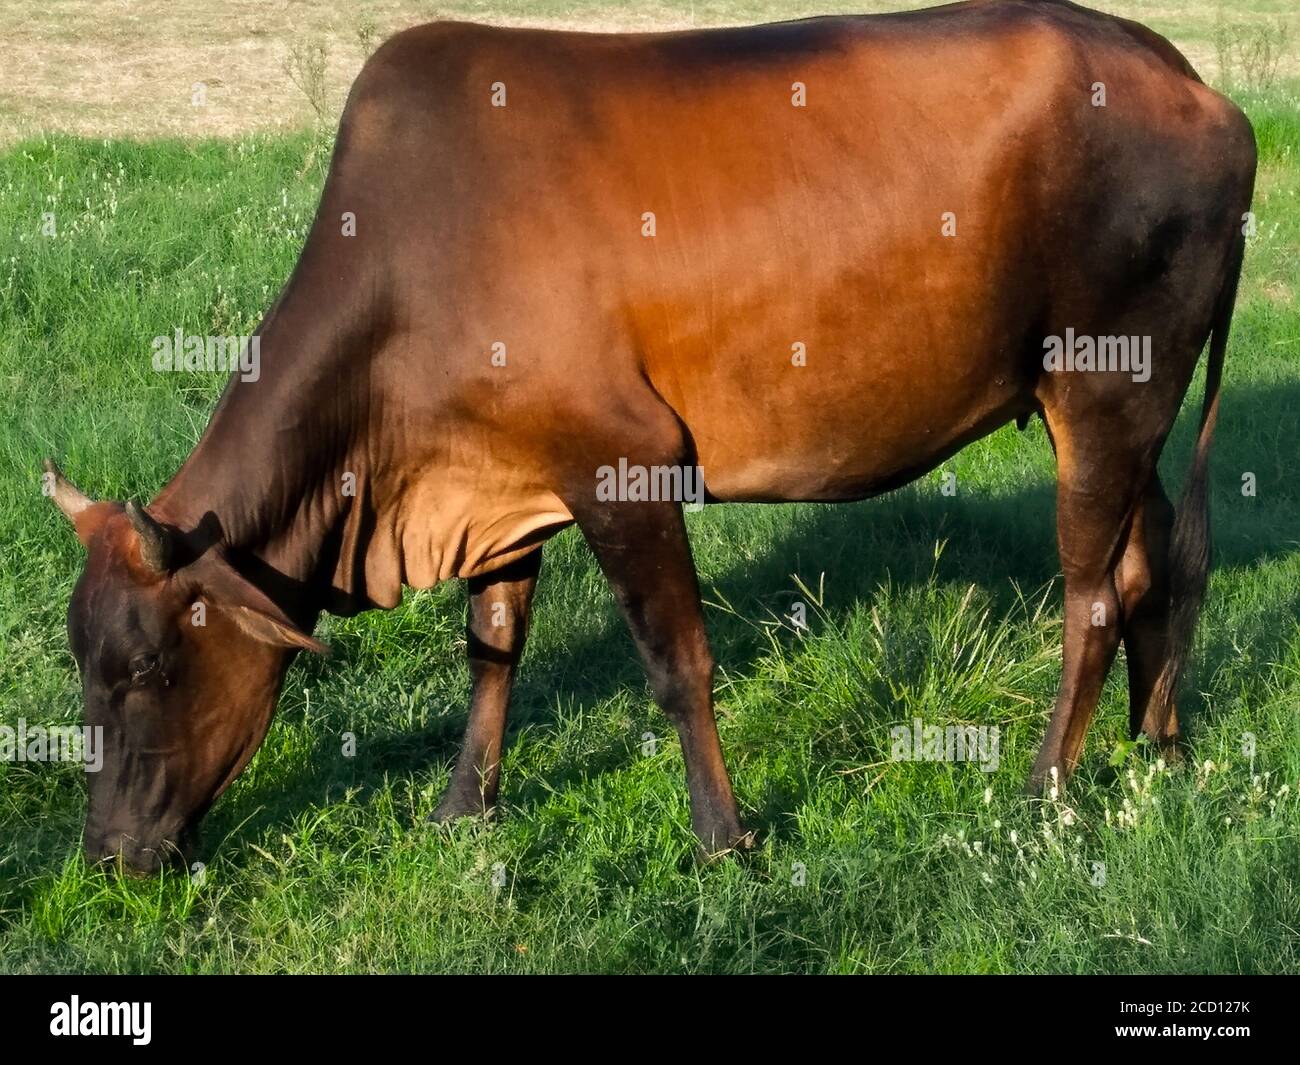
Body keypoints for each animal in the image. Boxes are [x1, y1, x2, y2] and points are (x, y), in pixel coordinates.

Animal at [46, 0, 1256, 874]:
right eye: (79, 659)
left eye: (146, 664)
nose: (106, 855)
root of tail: (1196, 84)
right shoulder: (506, 478)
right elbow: (491, 644)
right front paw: (460, 810)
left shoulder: (620, 463)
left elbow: (677, 664)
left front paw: (724, 839)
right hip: (1116, 408)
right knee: (1154, 563)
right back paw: (1158, 741)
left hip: (1106, 387)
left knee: (1091, 592)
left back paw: (1047, 785)